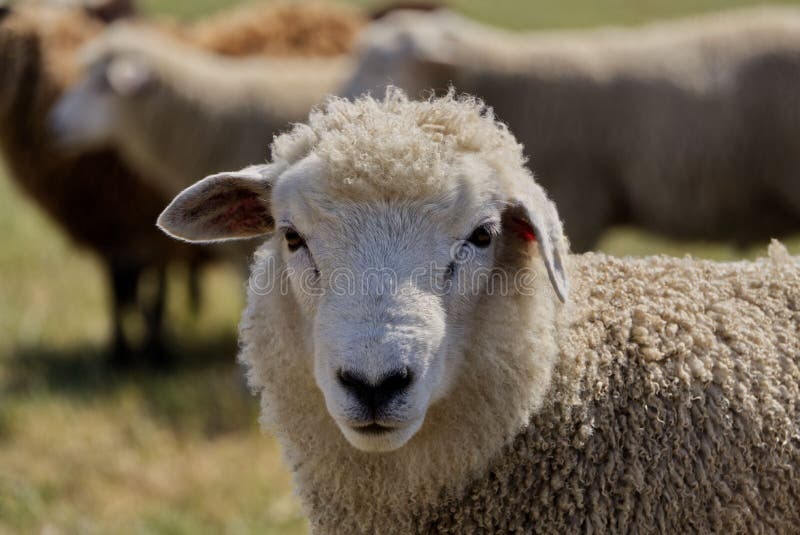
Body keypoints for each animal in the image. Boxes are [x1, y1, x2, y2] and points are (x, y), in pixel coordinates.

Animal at [0, 3, 212, 367]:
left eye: (74, 34)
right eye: (26, 44)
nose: (54, 121)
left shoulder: (144, 226)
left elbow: (150, 291)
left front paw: (154, 352)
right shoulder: (111, 226)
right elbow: (118, 290)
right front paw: (122, 351)